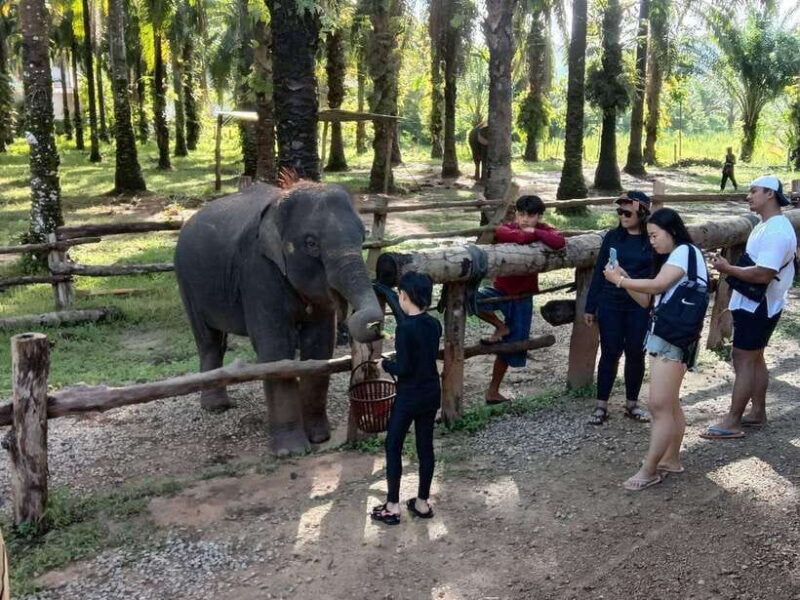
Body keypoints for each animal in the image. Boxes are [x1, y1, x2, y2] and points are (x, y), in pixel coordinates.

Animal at [174, 181, 384, 456]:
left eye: (362, 237)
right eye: (311, 243)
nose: (375, 326)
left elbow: (319, 345)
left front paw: (319, 438)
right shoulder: (257, 270)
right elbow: (276, 347)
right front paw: (291, 451)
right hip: (186, 282)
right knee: (208, 339)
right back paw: (216, 407)